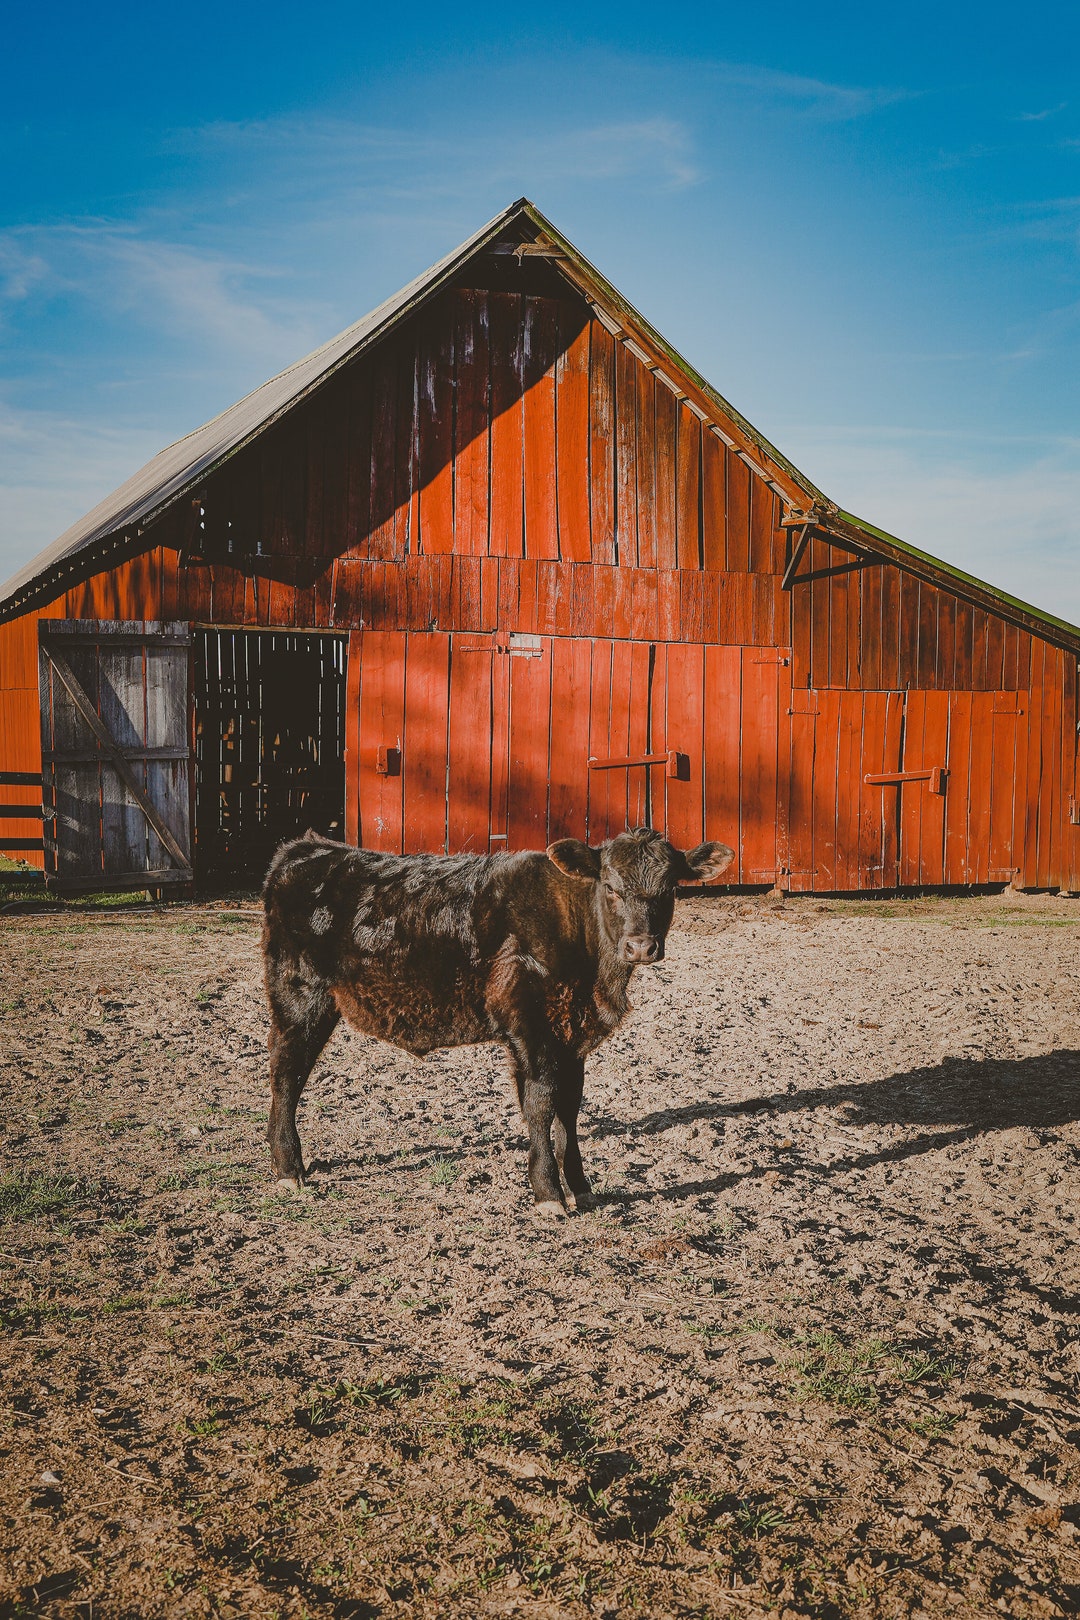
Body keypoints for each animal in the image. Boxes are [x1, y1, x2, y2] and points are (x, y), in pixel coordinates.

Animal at [262, 828, 734, 1216]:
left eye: (670, 889)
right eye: (612, 888)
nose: (641, 946)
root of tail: (307, 847)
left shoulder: (572, 1036)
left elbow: (569, 1108)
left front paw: (581, 1188)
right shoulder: (530, 1026)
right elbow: (541, 1103)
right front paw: (548, 1194)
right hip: (299, 995)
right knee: (286, 1073)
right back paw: (289, 1168)